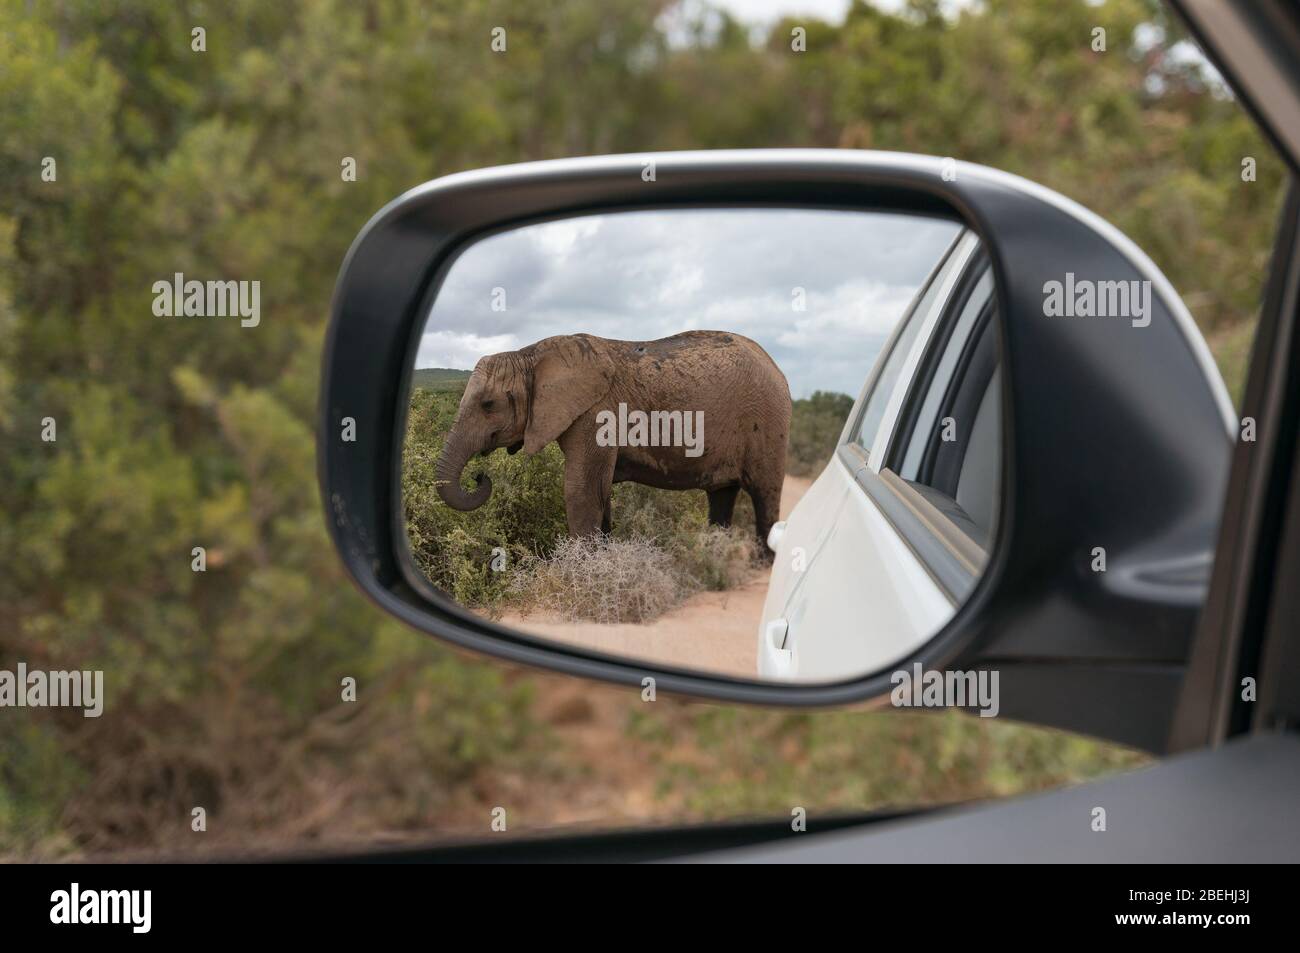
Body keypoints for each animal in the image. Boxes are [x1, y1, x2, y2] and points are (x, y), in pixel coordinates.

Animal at [434, 331, 792, 551]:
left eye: (488, 405)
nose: (480, 476)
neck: (529, 355)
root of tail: (776, 365)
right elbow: (599, 493)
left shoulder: (597, 412)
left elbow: (580, 490)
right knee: (722, 497)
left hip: (768, 420)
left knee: (765, 497)